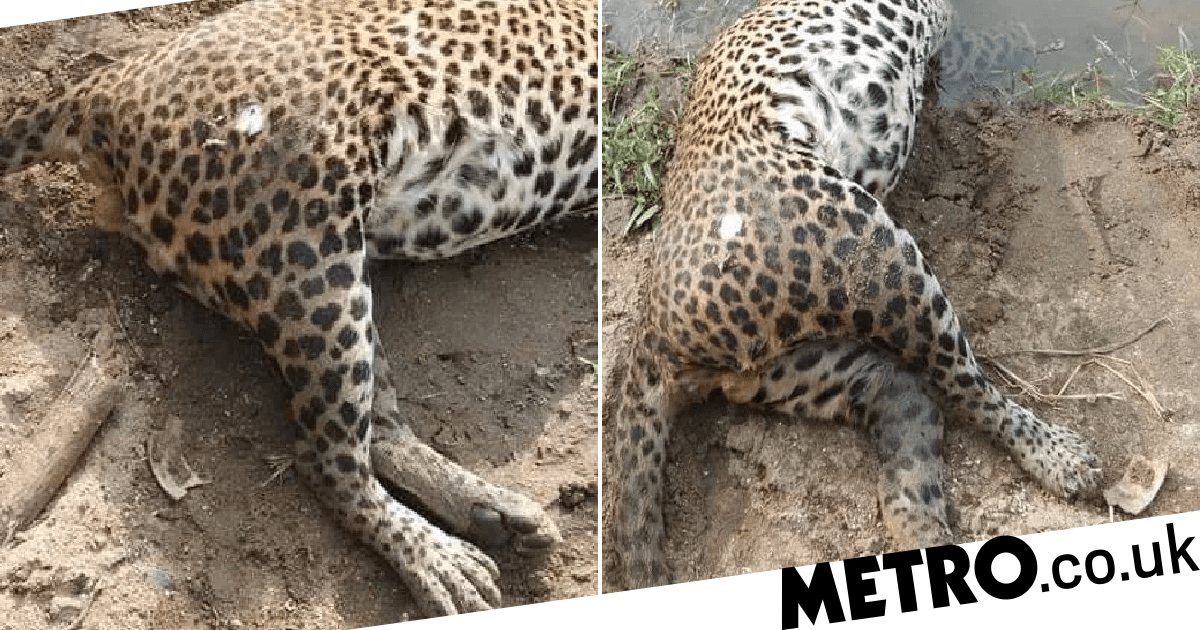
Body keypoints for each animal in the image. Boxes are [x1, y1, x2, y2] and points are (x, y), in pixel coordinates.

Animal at [0, 0, 597, 617]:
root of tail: (103, 86)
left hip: (332, 283)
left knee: (378, 433)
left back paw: (496, 514)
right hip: (312, 263)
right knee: (329, 460)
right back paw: (442, 560)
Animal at [609, 0, 1102, 590]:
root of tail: (651, 329)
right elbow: (994, 37)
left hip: (808, 368)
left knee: (906, 420)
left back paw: (936, 534)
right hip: (872, 255)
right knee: (961, 386)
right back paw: (1059, 456)